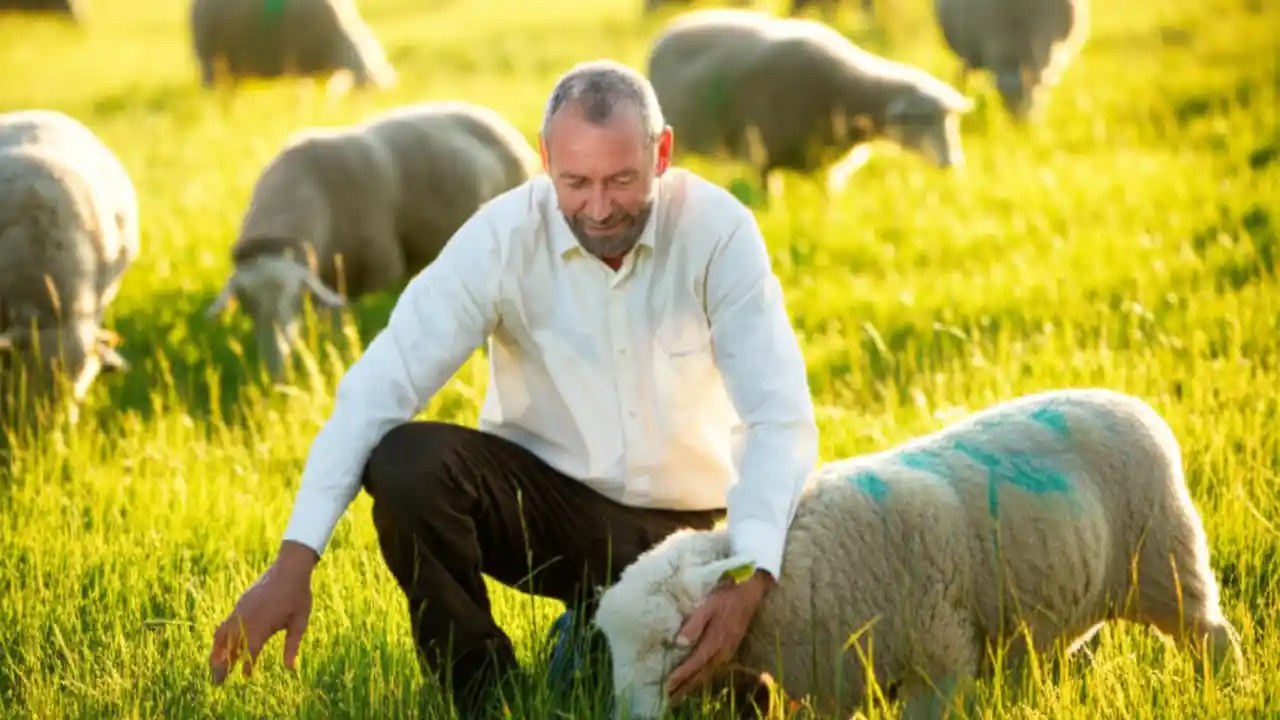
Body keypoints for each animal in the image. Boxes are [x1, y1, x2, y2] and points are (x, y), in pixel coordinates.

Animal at [206, 101, 541, 380]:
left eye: (293, 298)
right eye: (246, 306)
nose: (275, 371)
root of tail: (496, 119)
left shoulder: (364, 271)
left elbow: (345, 326)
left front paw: (339, 354)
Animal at [594, 388, 1245, 720]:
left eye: (673, 642)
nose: (628, 717)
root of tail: (1134, 402)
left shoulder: (939, 660)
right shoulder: (832, 677)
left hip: (1166, 562)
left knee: (1212, 635)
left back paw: (1228, 687)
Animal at [646, 9, 972, 194]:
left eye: (952, 122)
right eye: (921, 120)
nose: (951, 163)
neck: (848, 92)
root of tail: (667, 31)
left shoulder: (824, 165)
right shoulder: (762, 149)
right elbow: (766, 194)